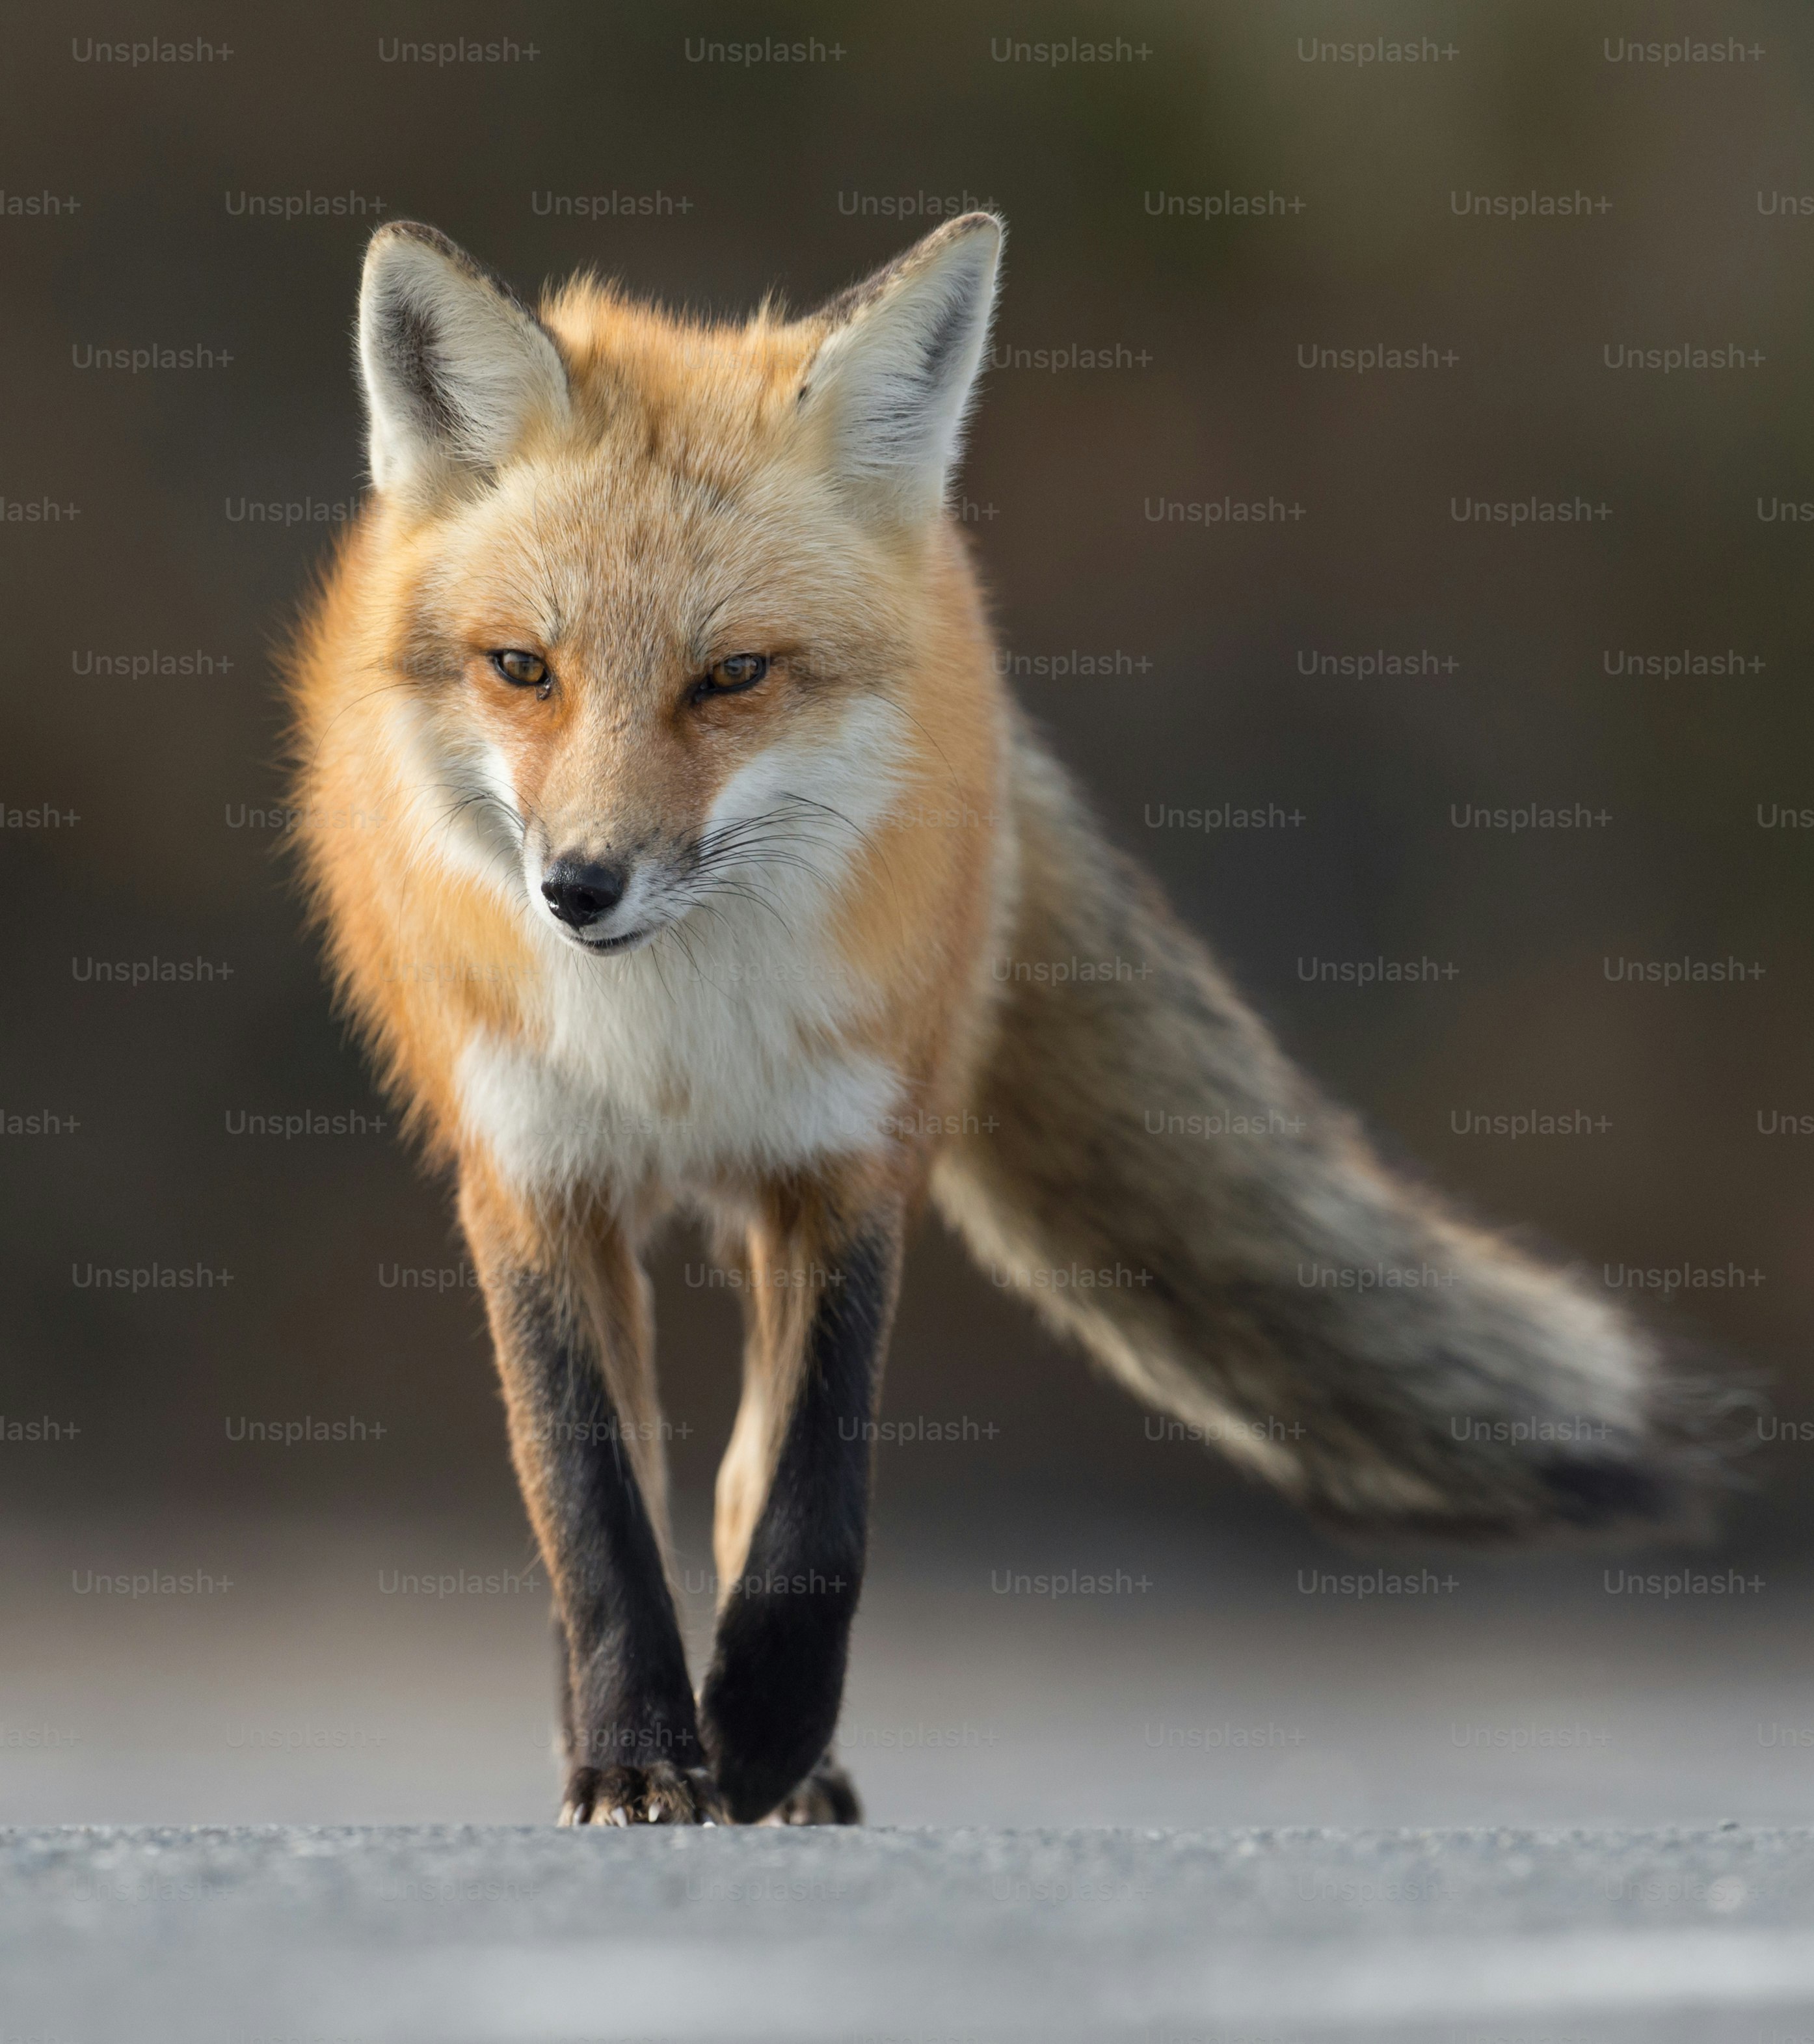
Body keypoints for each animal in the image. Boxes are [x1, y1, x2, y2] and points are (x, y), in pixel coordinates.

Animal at [288, 212, 1705, 1828]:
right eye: (522, 666)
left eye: (732, 675)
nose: (576, 887)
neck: (671, 1038)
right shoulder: (530, 1176)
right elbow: (589, 1506)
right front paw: (639, 1750)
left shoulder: (849, 1159)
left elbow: (811, 1500)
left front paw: (760, 1728)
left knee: (736, 1476)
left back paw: (792, 1759)